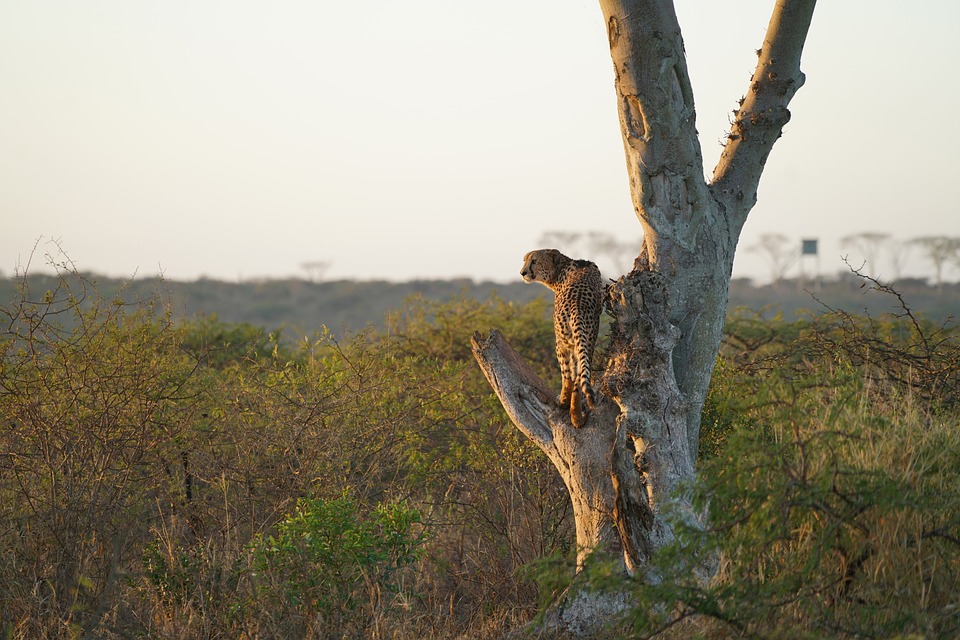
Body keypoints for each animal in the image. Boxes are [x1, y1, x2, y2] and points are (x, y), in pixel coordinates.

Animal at [520, 248, 603, 428]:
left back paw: (564, 402)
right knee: (579, 379)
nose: (522, 272)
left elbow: (568, 374)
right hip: (587, 343)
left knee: (567, 375)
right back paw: (577, 417)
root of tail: (577, 305)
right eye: (525, 260)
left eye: (534, 261)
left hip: (561, 343)